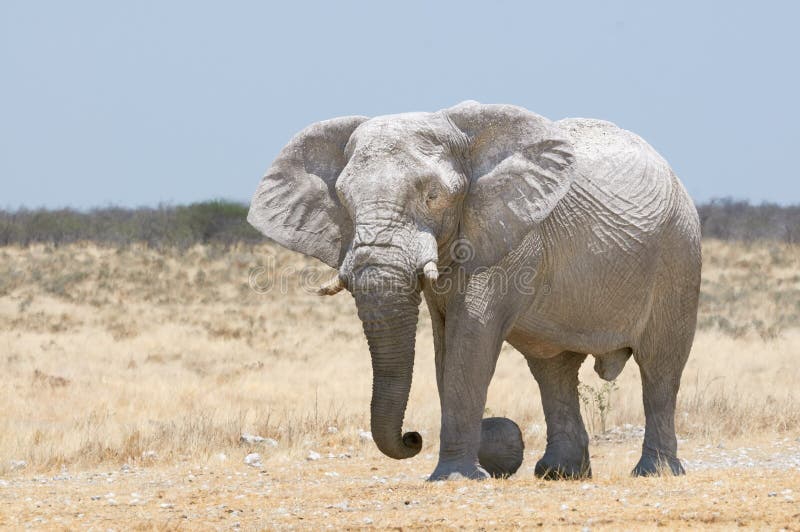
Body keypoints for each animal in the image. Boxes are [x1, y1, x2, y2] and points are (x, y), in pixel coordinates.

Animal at [248, 101, 702, 480]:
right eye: (343, 199)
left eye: (433, 196)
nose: (413, 437)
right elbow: (444, 347)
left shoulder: (509, 234)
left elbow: (472, 339)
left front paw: (455, 477)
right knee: (553, 370)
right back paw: (560, 474)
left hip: (678, 252)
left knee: (660, 365)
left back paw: (654, 473)